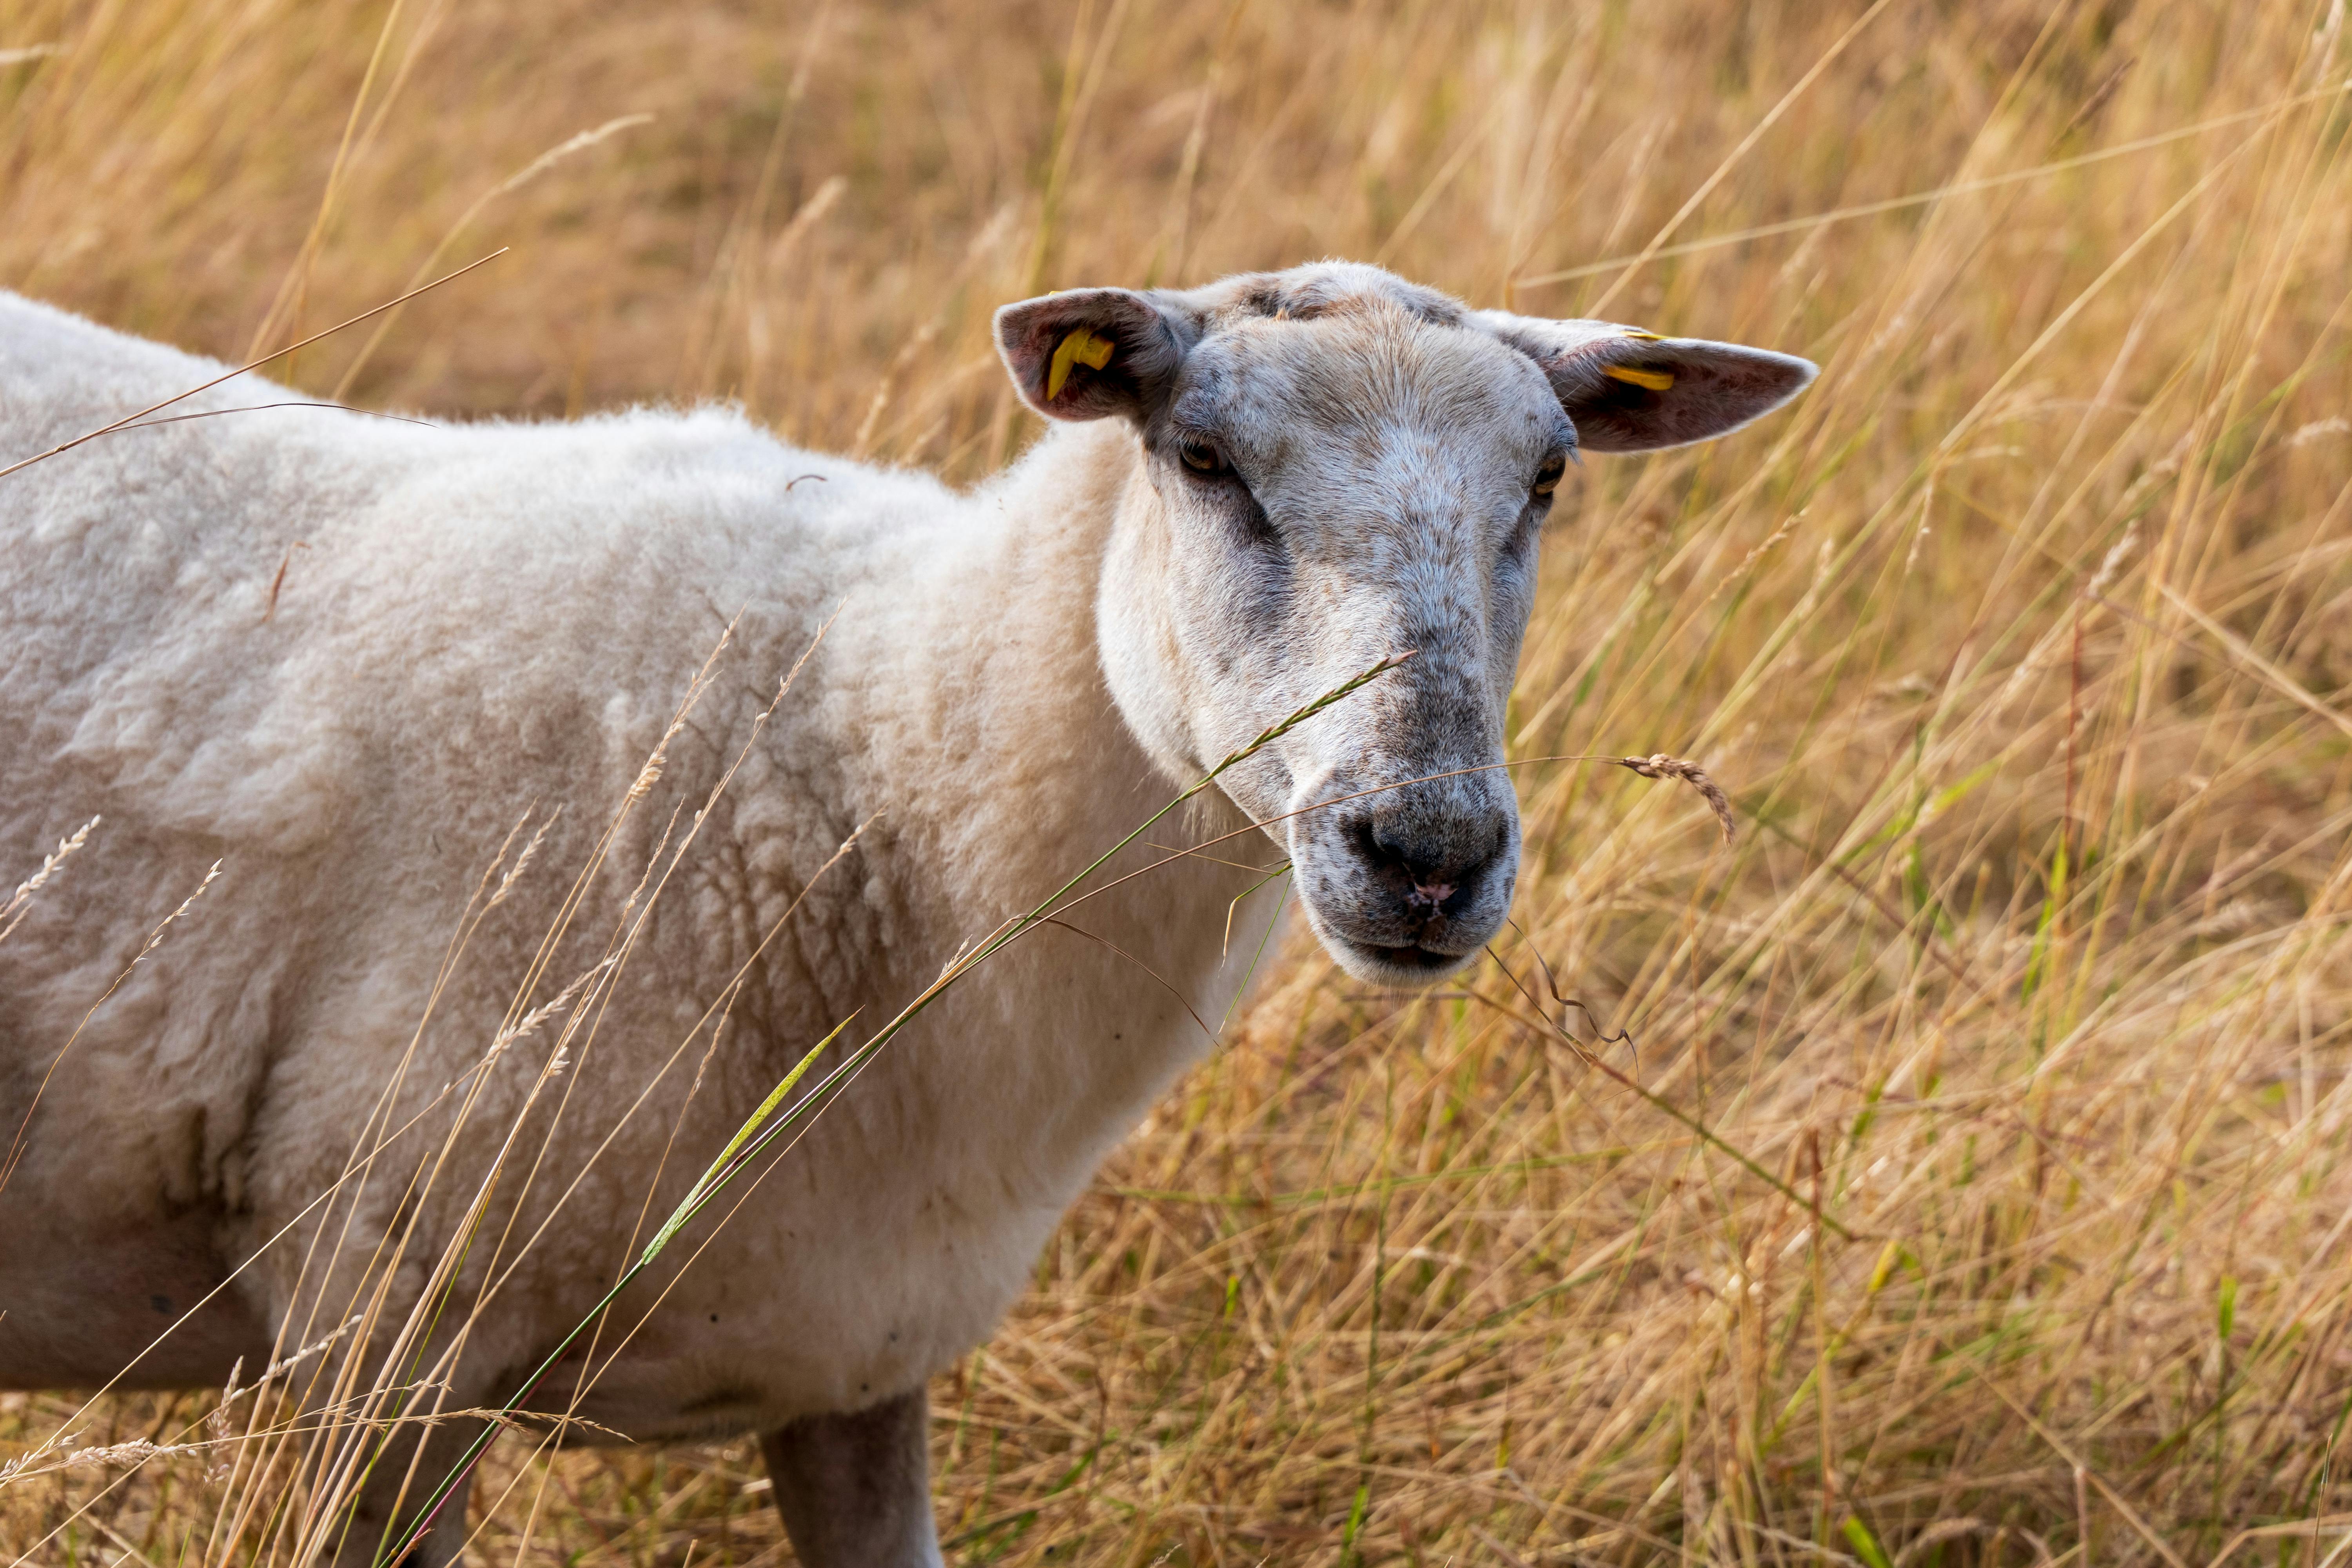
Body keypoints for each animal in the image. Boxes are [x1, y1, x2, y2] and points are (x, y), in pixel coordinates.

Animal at [0, 261, 1813, 1566]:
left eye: (1549, 481)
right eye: (1205, 459)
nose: (1427, 849)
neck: (869, 745)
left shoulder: (862, 1370)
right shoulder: (378, 1330)